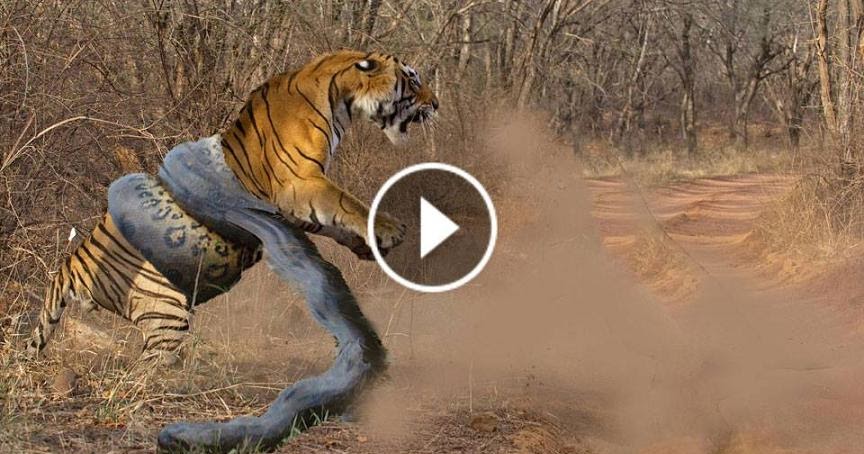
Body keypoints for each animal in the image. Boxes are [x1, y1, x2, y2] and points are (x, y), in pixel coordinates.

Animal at [28, 50, 439, 362]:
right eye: (412, 79)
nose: (436, 104)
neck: (339, 96)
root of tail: (71, 264)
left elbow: (334, 219)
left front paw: (369, 246)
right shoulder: (300, 184)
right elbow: (347, 203)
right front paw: (389, 229)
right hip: (165, 310)